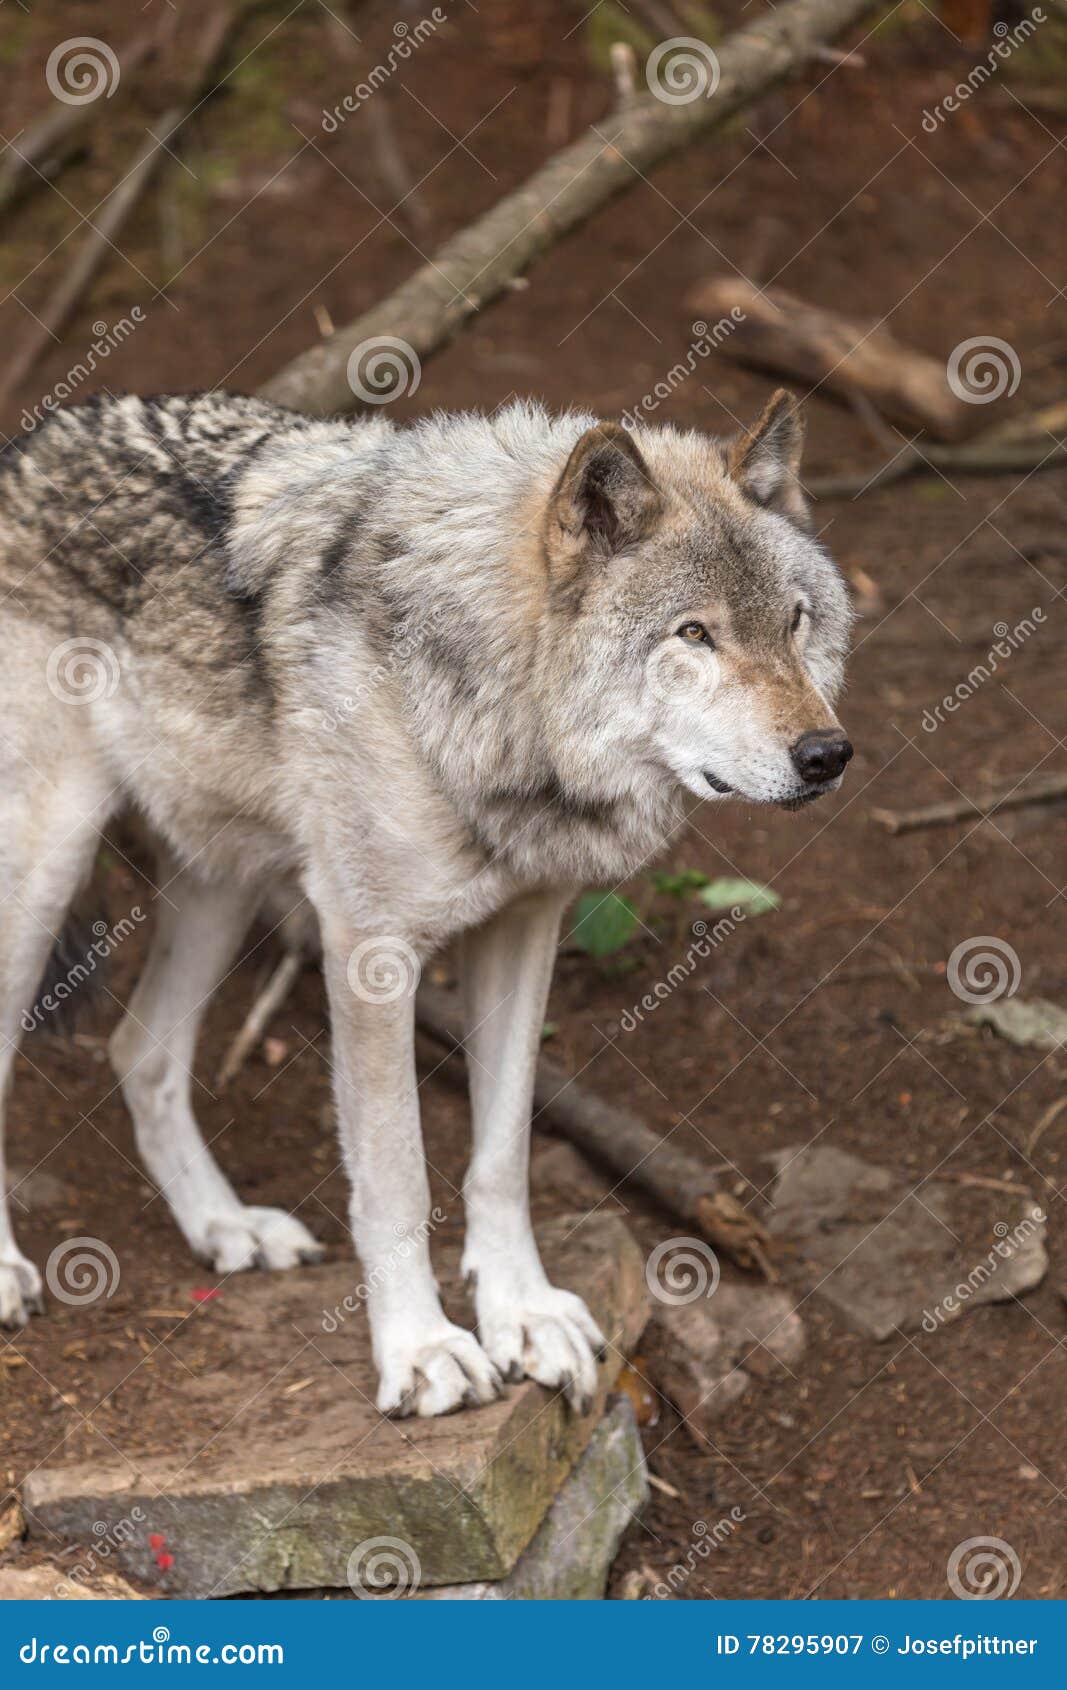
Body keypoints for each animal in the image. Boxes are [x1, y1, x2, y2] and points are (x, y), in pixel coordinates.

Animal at [0, 387, 852, 1416]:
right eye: (694, 634)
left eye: (796, 622)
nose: (827, 755)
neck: (485, 697)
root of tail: (34, 435)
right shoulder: (368, 949)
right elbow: (397, 1177)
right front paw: (421, 1348)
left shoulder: (524, 928)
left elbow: (501, 1158)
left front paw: (521, 1315)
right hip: (48, 864)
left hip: (218, 882)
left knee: (141, 1051)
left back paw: (226, 1226)